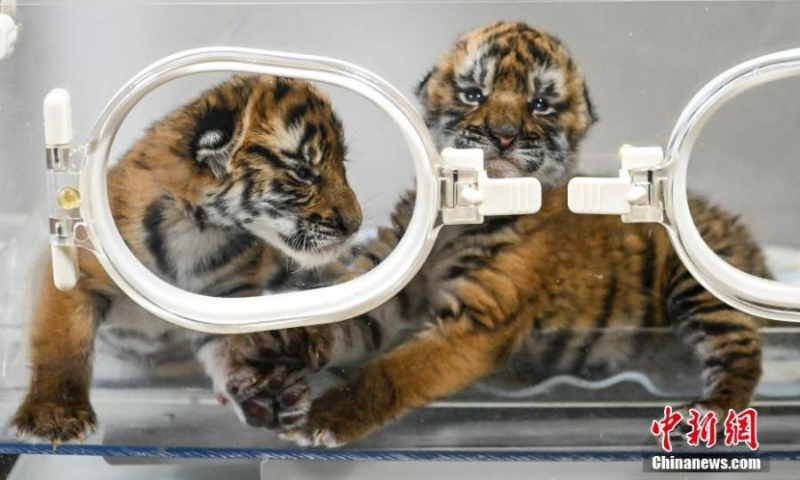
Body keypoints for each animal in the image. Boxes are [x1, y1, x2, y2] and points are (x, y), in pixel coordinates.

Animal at [11, 74, 363, 444]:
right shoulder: (80, 277)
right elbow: (62, 344)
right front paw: (54, 413)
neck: (199, 228)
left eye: (343, 165)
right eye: (303, 172)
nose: (356, 224)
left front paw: (264, 395)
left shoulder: (226, 296)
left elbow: (230, 346)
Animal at [211, 22, 768, 448]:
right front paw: (266, 346)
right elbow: (337, 324)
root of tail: (737, 225)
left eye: (540, 103)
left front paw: (325, 419)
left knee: (742, 355)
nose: (503, 135)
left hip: (700, 290)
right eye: (473, 95)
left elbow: (395, 372)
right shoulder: (390, 288)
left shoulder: (481, 318)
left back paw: (713, 412)